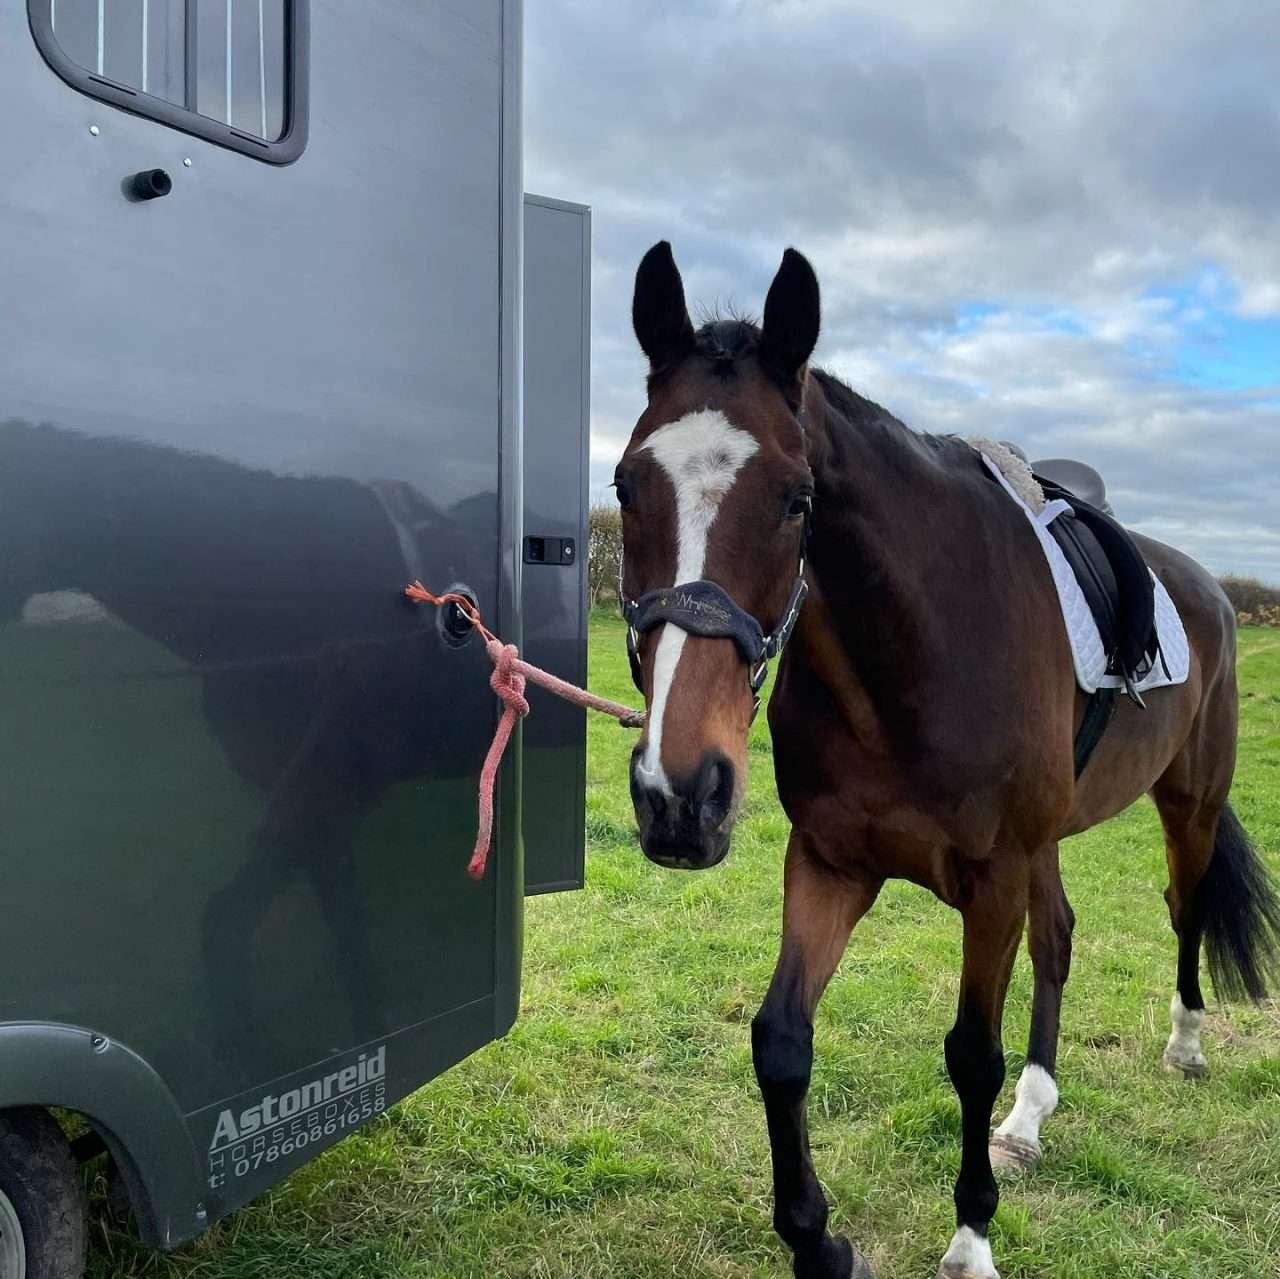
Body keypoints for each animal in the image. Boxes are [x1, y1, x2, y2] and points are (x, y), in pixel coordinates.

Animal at [613, 243, 1280, 1279]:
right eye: (623, 486)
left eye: (798, 500)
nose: (680, 796)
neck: (912, 656)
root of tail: (1208, 588)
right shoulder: (831, 862)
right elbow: (781, 1040)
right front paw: (817, 1239)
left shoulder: (993, 877)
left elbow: (971, 1051)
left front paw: (971, 1240)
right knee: (1060, 936)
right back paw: (1030, 1119)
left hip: (1189, 806)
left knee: (1183, 906)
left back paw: (1186, 1045)